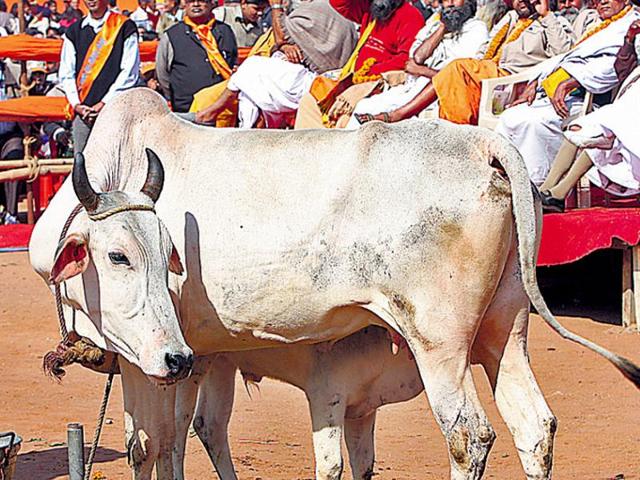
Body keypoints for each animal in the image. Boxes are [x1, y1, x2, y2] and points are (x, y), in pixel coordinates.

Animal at [29, 88, 640, 480]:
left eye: (156, 255)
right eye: (119, 256)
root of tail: (484, 145)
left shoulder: (146, 356)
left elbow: (146, 445)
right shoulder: (191, 357)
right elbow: (175, 440)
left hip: (439, 342)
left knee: (469, 436)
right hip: (503, 330)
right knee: (533, 427)